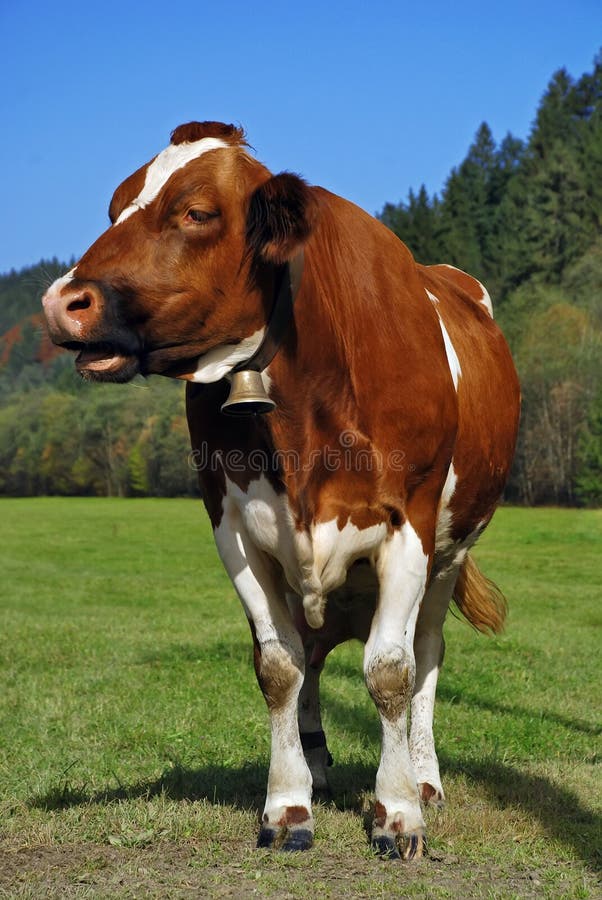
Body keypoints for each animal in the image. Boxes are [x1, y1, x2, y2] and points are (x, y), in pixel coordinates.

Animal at [42, 121, 520, 860]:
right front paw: (289, 804)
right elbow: (279, 668)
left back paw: (426, 777)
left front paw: (398, 812)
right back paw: (318, 760)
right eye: (114, 209)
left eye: (197, 212)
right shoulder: (234, 527)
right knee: (315, 654)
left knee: (427, 653)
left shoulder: (409, 524)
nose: (62, 303)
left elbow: (391, 671)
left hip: (451, 552)